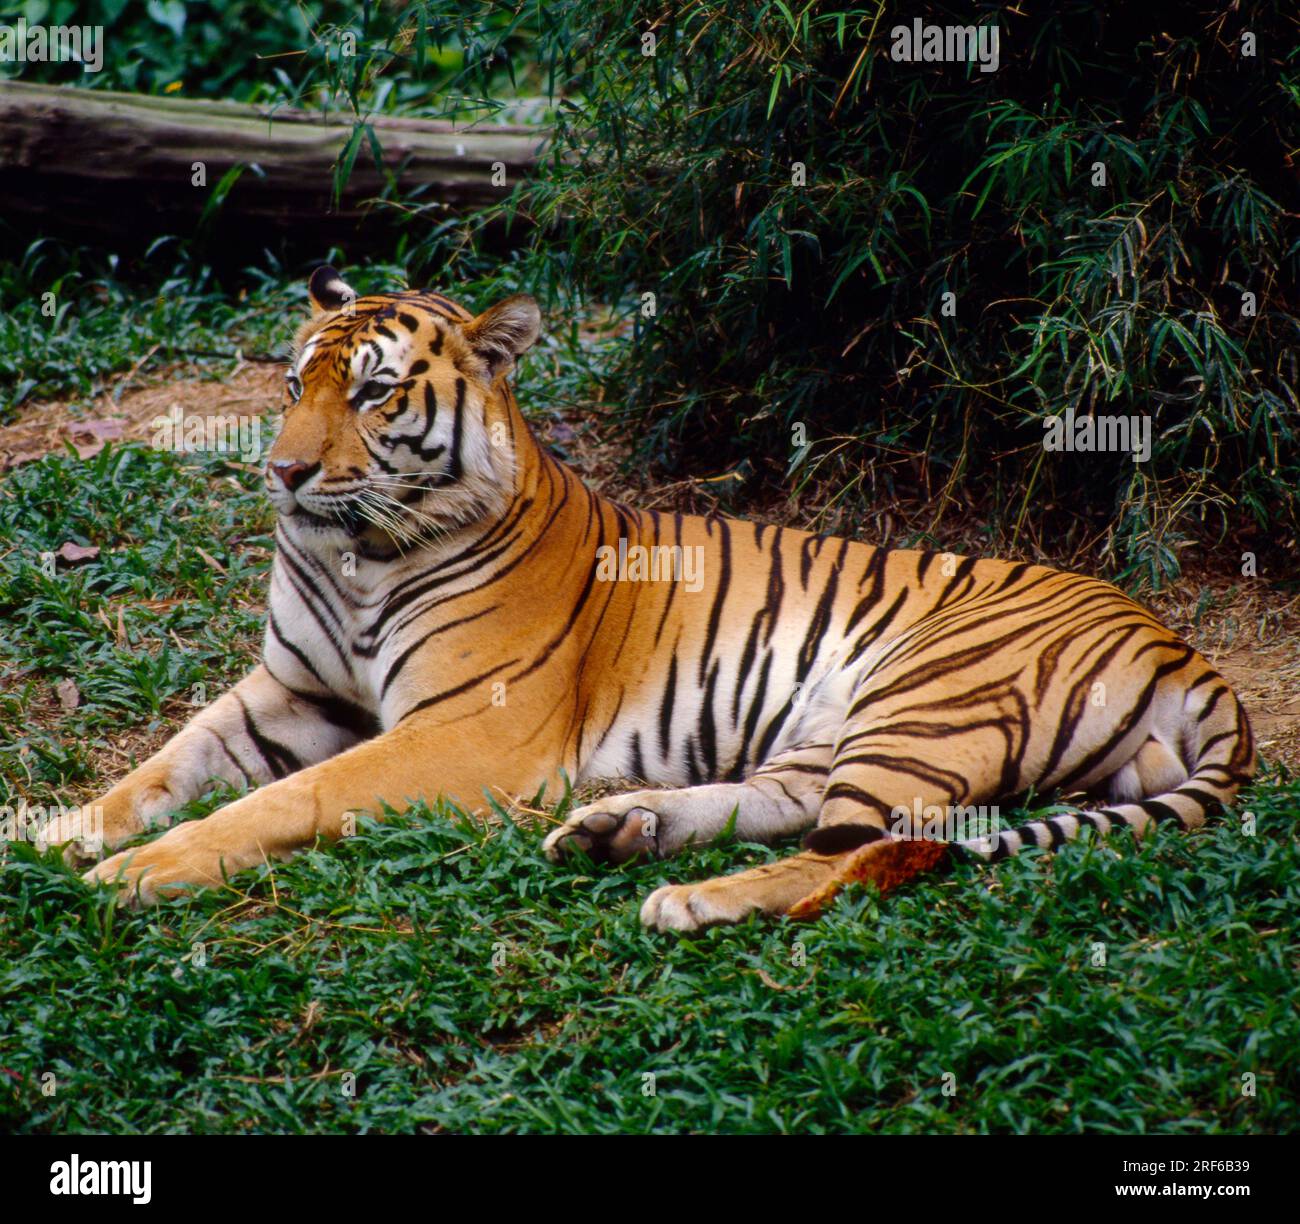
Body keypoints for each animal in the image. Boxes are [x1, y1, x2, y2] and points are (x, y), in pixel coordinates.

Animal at [53, 266, 1256, 932]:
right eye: (295, 381)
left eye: (375, 394)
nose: (284, 473)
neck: (357, 556)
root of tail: (1175, 642)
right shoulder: (290, 689)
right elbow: (168, 762)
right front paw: (62, 830)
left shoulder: (470, 732)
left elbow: (285, 798)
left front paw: (139, 872)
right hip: (839, 726)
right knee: (797, 810)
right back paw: (616, 831)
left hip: (925, 698)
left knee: (863, 852)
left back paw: (689, 899)